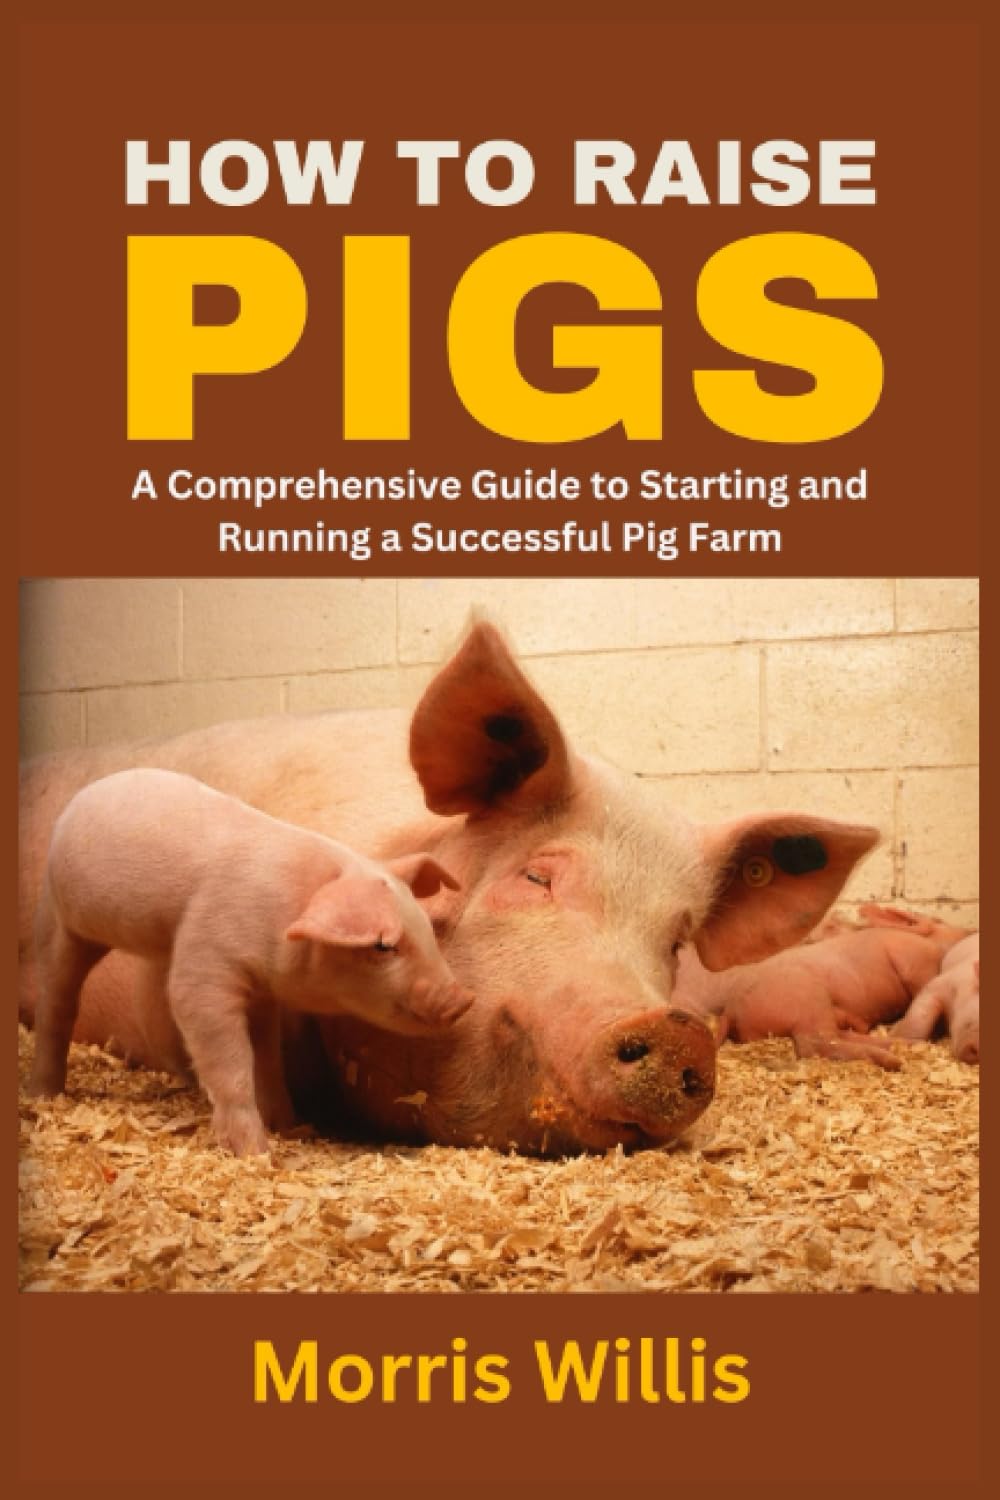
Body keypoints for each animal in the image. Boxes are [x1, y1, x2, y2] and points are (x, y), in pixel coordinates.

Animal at [29, 768, 470, 1155]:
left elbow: (268, 1059)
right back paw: (45, 1095)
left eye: (425, 928)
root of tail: (81, 798)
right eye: (382, 946)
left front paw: (289, 1127)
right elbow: (228, 1056)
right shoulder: (205, 960)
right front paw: (255, 1152)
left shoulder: (262, 993)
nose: (462, 1000)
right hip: (62, 922)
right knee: (55, 1000)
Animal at [675, 903, 973, 1069]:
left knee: (836, 1035)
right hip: (808, 999)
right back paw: (894, 1060)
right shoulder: (912, 956)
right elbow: (919, 982)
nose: (970, 931)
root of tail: (731, 1011)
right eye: (941, 921)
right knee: (815, 1044)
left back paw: (892, 1044)